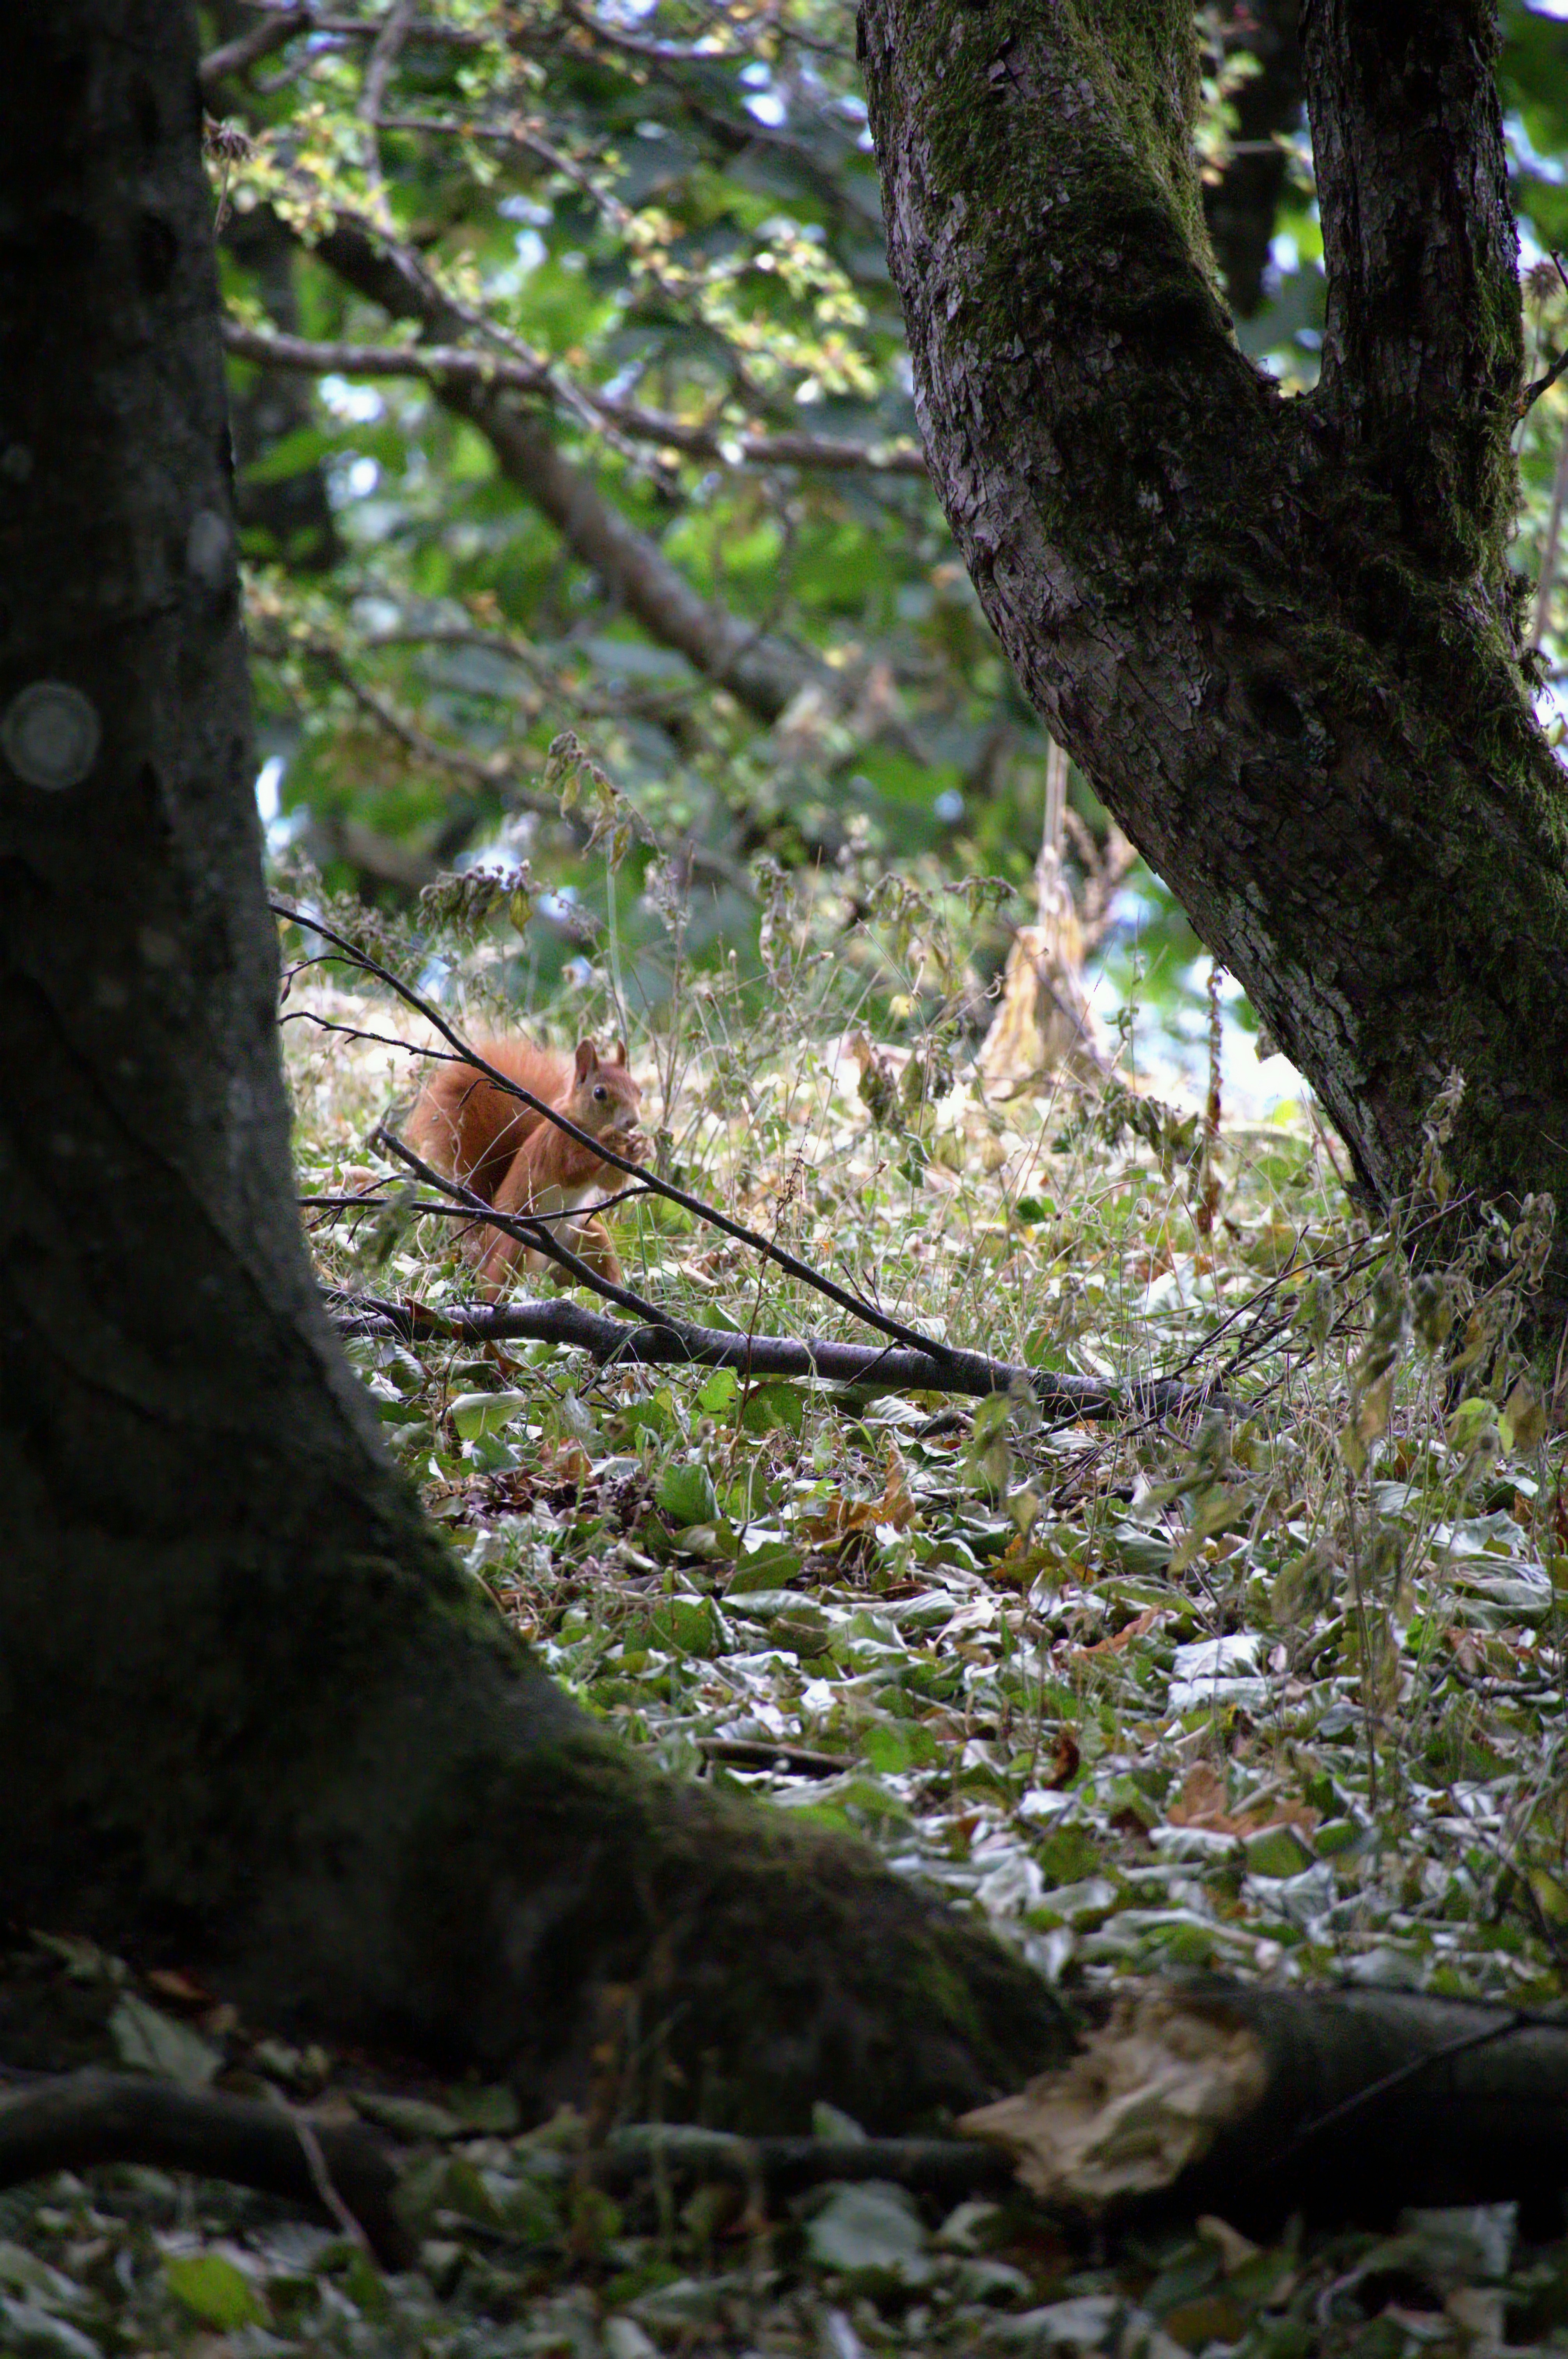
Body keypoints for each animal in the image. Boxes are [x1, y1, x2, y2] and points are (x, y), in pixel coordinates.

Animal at [408, 1037, 644, 1293]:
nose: (634, 1121)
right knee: (497, 1279)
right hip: (515, 1243)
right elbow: (572, 1169)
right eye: (600, 1093)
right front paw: (609, 1140)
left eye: (639, 1091)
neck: (586, 1124)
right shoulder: (557, 1141)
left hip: (588, 1240)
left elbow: (610, 1182)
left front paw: (639, 1149)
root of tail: (483, 1245)